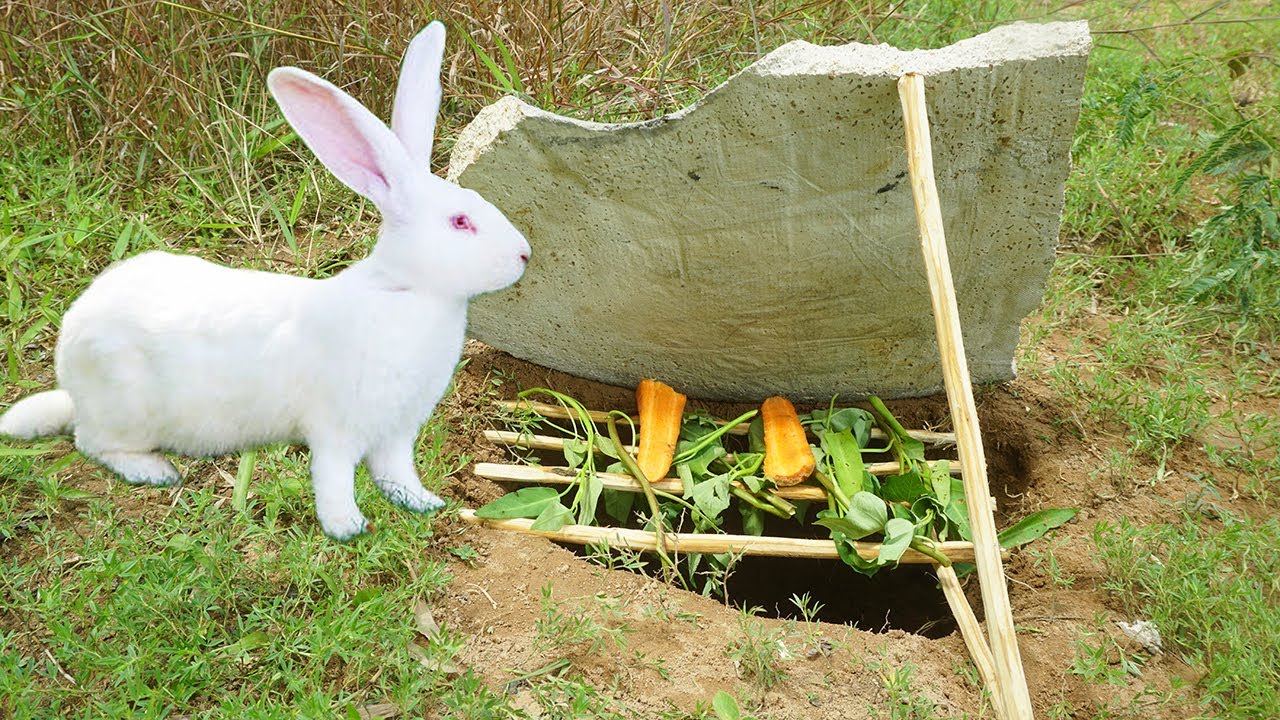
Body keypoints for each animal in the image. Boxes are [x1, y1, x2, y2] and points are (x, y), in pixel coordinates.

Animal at [0, 21, 531, 540]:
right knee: (92, 443)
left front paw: (423, 503)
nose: (525, 254)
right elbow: (335, 478)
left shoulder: (396, 434)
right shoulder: (337, 429)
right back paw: (154, 471)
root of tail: (70, 364)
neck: (407, 291)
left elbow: (397, 473)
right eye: (460, 222)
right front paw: (347, 528)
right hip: (124, 408)